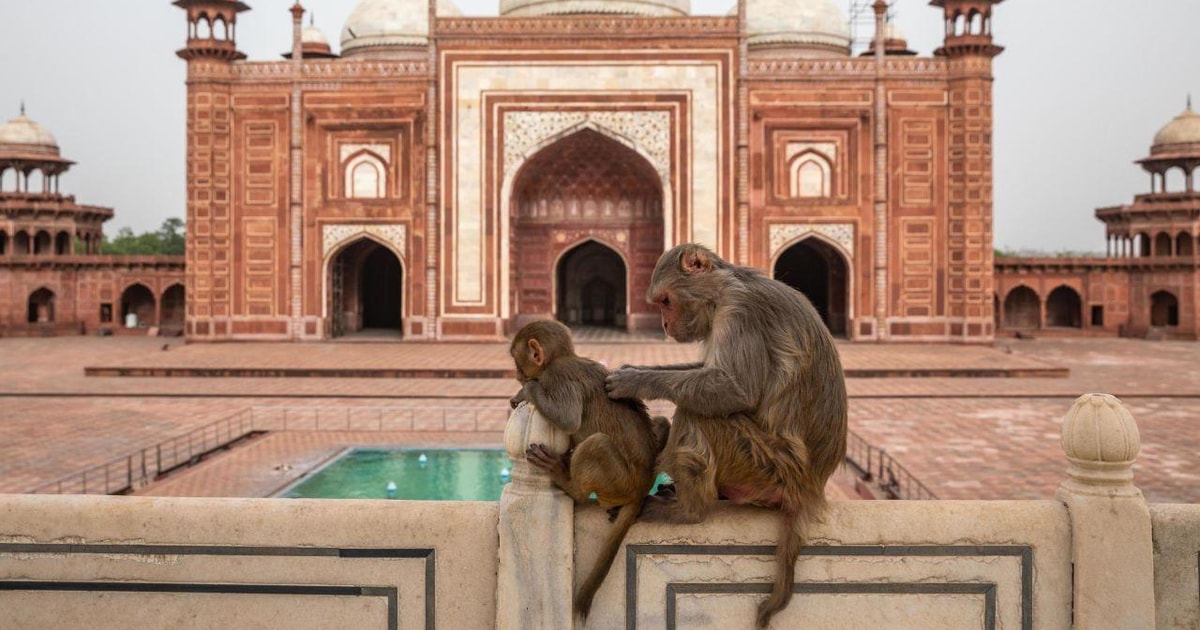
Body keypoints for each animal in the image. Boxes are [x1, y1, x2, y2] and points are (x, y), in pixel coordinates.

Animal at [509, 319, 670, 620]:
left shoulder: (557, 377)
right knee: (662, 421)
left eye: (517, 360)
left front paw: (526, 390)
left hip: (618, 480)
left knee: (596, 444)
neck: (561, 358)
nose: (515, 374)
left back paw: (567, 481)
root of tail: (643, 486)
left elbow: (568, 418)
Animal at [604, 243, 848, 629]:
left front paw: (635, 380)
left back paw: (690, 510)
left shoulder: (740, 311)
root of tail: (810, 488)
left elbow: (735, 390)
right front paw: (634, 369)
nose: (664, 326)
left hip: (763, 464)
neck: (724, 287)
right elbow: (708, 374)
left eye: (665, 301)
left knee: (698, 413)